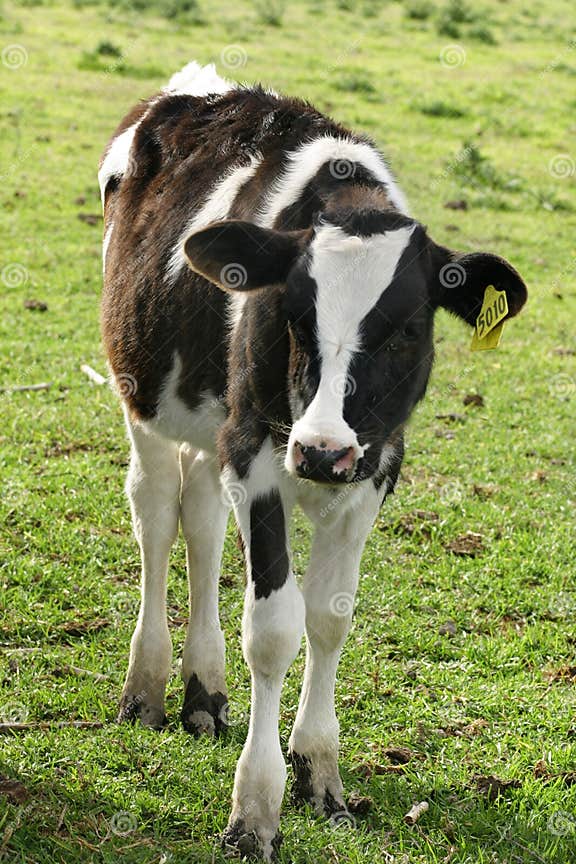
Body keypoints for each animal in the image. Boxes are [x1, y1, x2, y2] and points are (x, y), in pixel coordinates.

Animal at [98, 60, 527, 860]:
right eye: (295, 317)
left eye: (407, 331)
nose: (323, 451)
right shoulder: (257, 455)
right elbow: (273, 628)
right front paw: (255, 809)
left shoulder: (376, 467)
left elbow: (329, 617)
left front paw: (319, 773)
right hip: (143, 391)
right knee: (156, 511)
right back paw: (148, 684)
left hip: (217, 425)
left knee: (201, 520)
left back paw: (203, 692)